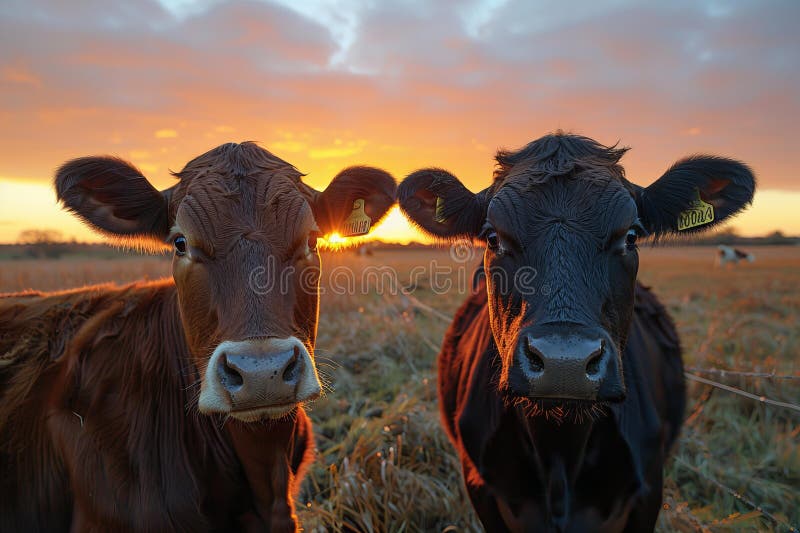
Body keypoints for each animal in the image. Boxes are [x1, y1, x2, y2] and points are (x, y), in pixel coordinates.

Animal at [399, 132, 755, 532]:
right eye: (492, 238)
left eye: (631, 236)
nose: (563, 361)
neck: (560, 450)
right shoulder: (481, 488)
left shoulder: (648, 492)